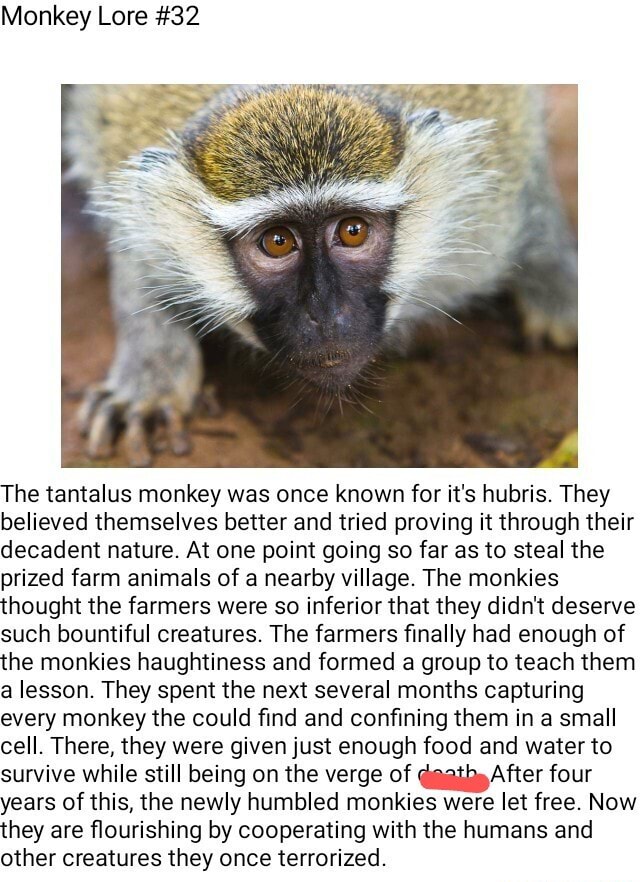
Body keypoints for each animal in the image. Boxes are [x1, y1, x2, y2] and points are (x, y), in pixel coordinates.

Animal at [65, 85, 577, 466]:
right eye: (277, 241)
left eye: (352, 231)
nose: (325, 313)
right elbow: (135, 249)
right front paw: (150, 377)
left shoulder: (495, 205)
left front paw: (557, 280)